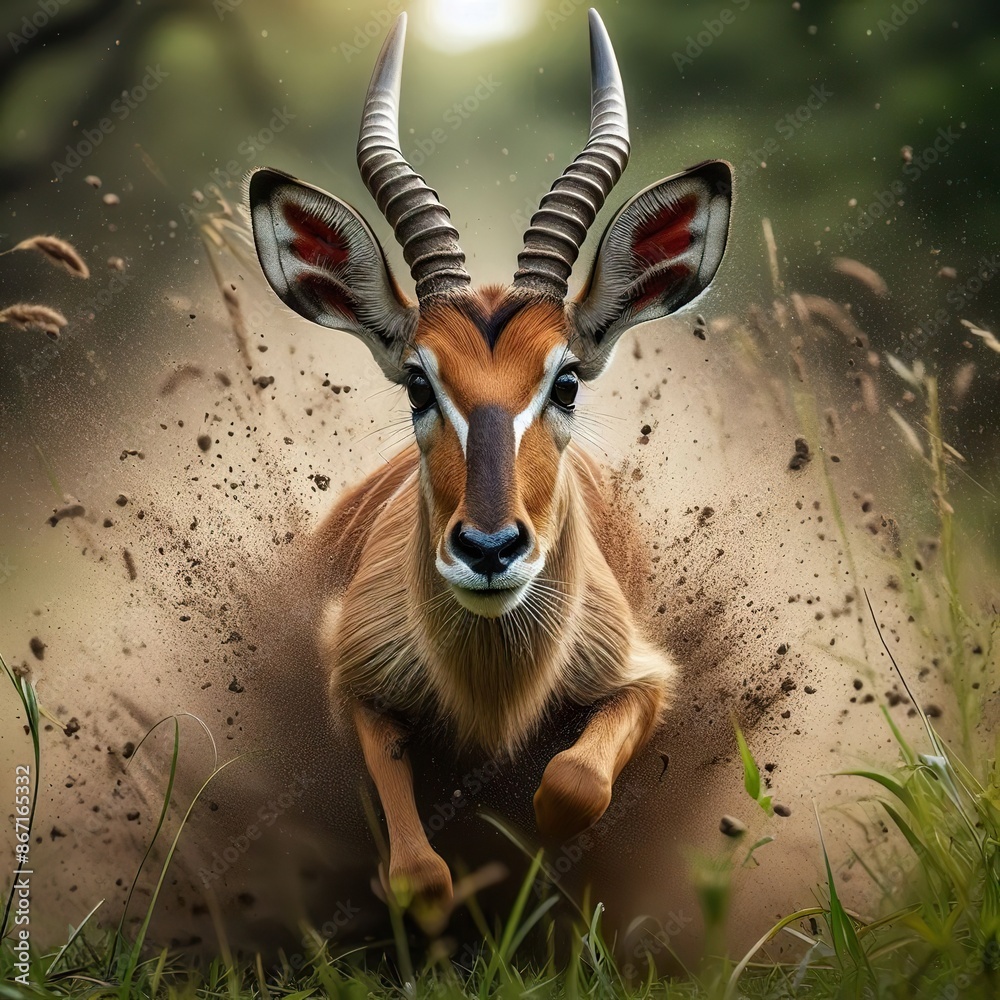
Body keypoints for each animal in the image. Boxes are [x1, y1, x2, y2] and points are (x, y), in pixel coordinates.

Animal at [248, 9, 731, 914]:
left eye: (566, 378)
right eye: (417, 380)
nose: (489, 549)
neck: (492, 689)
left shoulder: (645, 677)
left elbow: (572, 783)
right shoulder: (352, 684)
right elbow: (417, 874)